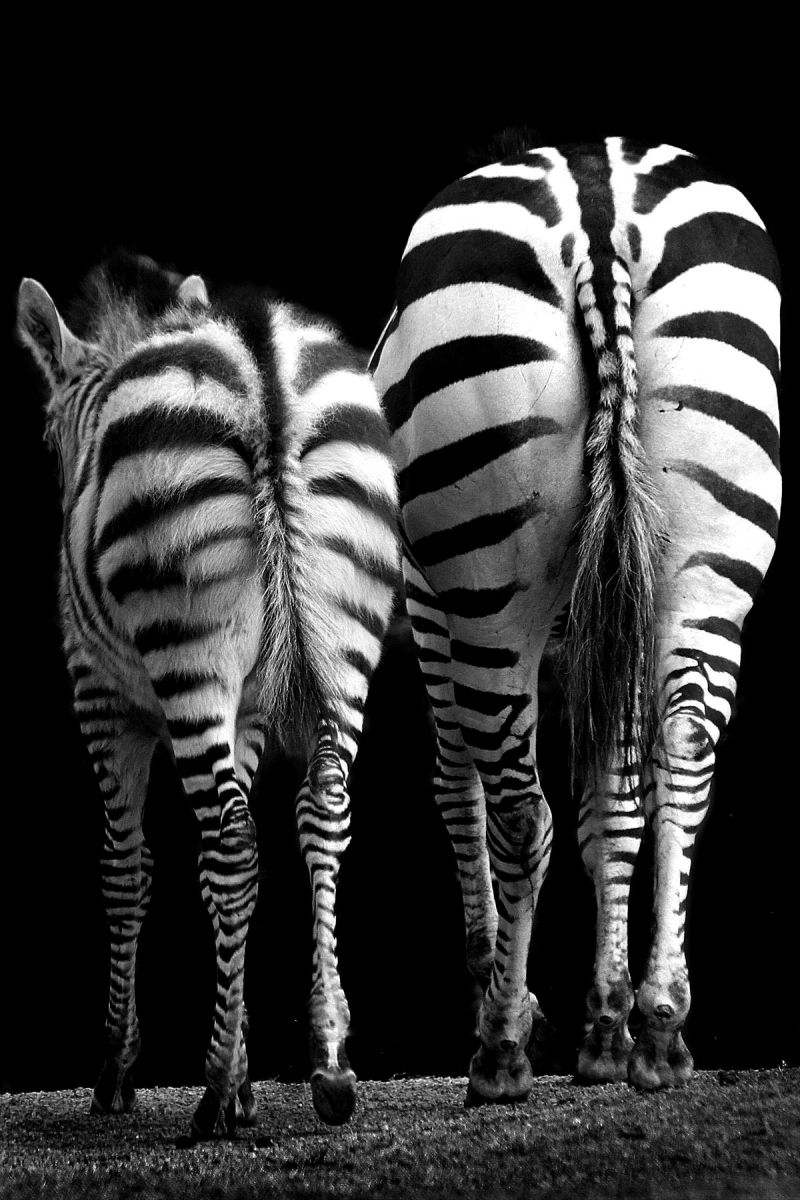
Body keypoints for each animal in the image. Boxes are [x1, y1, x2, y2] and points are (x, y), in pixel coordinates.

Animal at [17, 253, 399, 1137]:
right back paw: (331, 1067)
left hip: (187, 640)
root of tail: (263, 364)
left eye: (50, 436)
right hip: (346, 639)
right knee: (320, 817)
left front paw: (117, 1072)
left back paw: (215, 1093)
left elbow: (126, 870)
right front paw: (257, 1072)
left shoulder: (101, 701)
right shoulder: (251, 708)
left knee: (227, 841)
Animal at [370, 136, 781, 1099]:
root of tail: (598, 200)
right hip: (709, 555)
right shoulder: (607, 640)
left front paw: (517, 1001)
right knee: (687, 751)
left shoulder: (432, 615)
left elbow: (459, 791)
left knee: (523, 812)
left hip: (487, 586)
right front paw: (608, 1025)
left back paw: (501, 1056)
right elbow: (616, 810)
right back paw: (662, 1027)